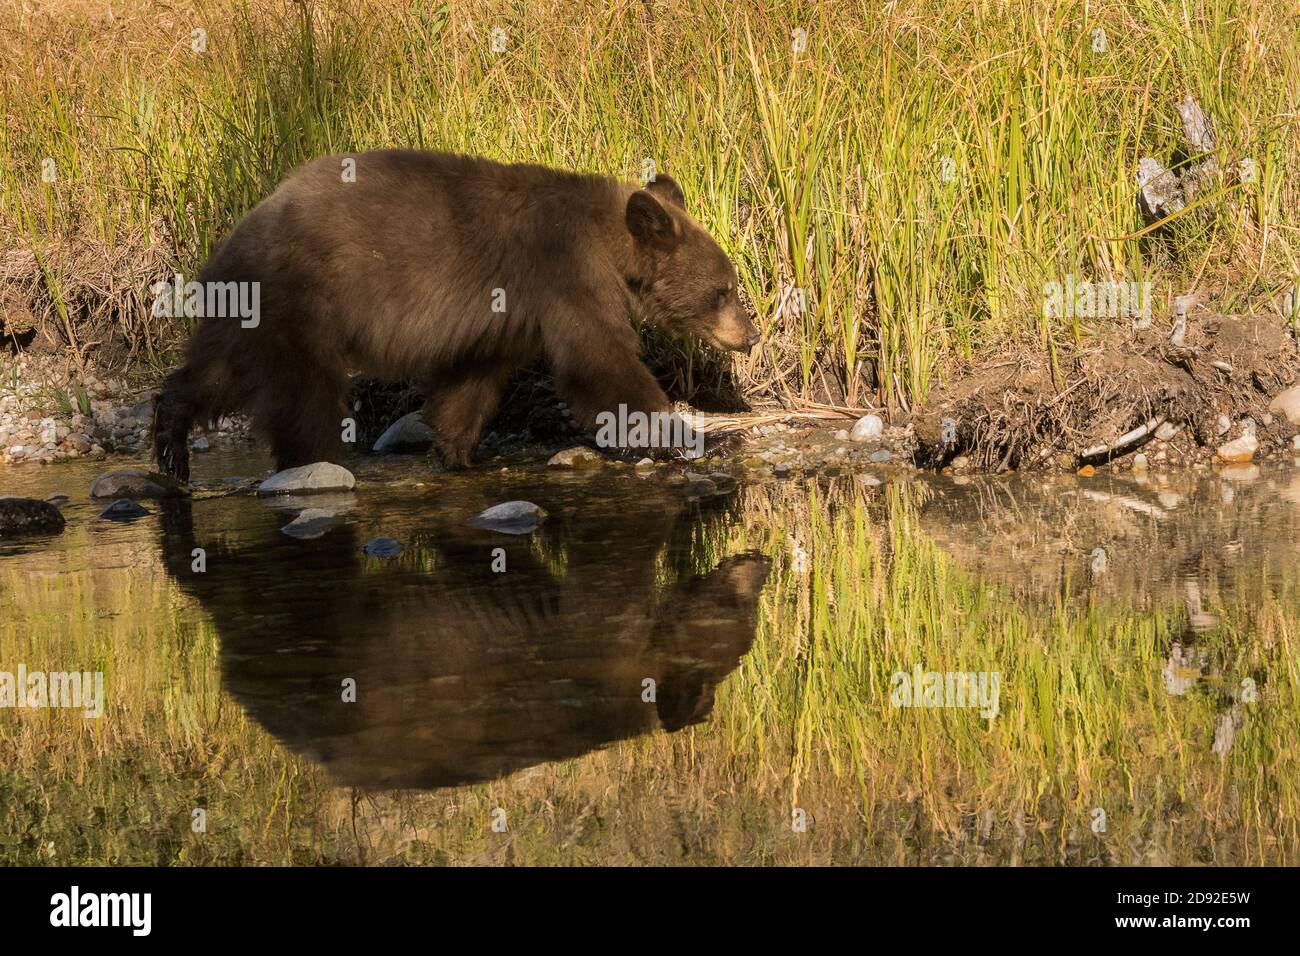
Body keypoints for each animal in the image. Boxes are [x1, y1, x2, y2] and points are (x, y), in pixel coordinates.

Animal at [152, 150, 758, 481]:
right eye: (725, 290)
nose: (751, 335)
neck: (610, 244)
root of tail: (235, 237)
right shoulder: (563, 273)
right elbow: (600, 362)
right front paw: (693, 436)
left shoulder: (509, 312)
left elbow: (473, 379)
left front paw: (458, 451)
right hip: (301, 302)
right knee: (304, 400)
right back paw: (315, 464)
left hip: (252, 314)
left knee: (216, 374)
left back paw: (171, 441)